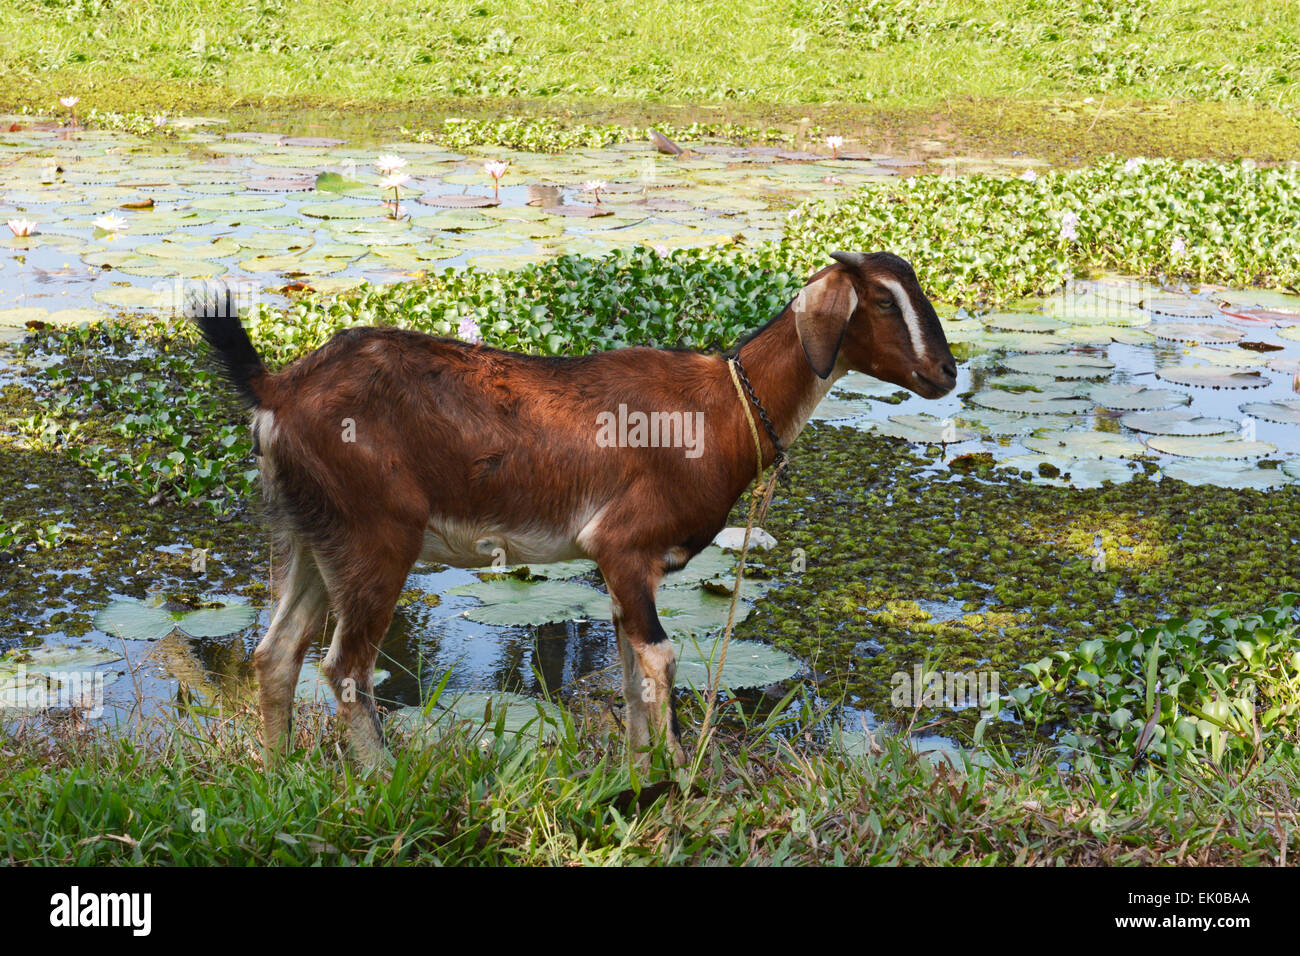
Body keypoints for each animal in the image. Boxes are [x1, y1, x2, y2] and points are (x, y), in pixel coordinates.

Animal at [190, 251, 957, 769]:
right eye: (882, 301)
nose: (946, 373)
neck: (722, 407)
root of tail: (280, 388)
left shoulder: (624, 572)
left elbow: (631, 673)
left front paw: (640, 776)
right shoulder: (624, 546)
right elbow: (660, 662)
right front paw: (673, 781)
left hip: (311, 536)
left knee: (276, 655)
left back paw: (282, 774)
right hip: (375, 537)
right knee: (345, 671)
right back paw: (380, 780)